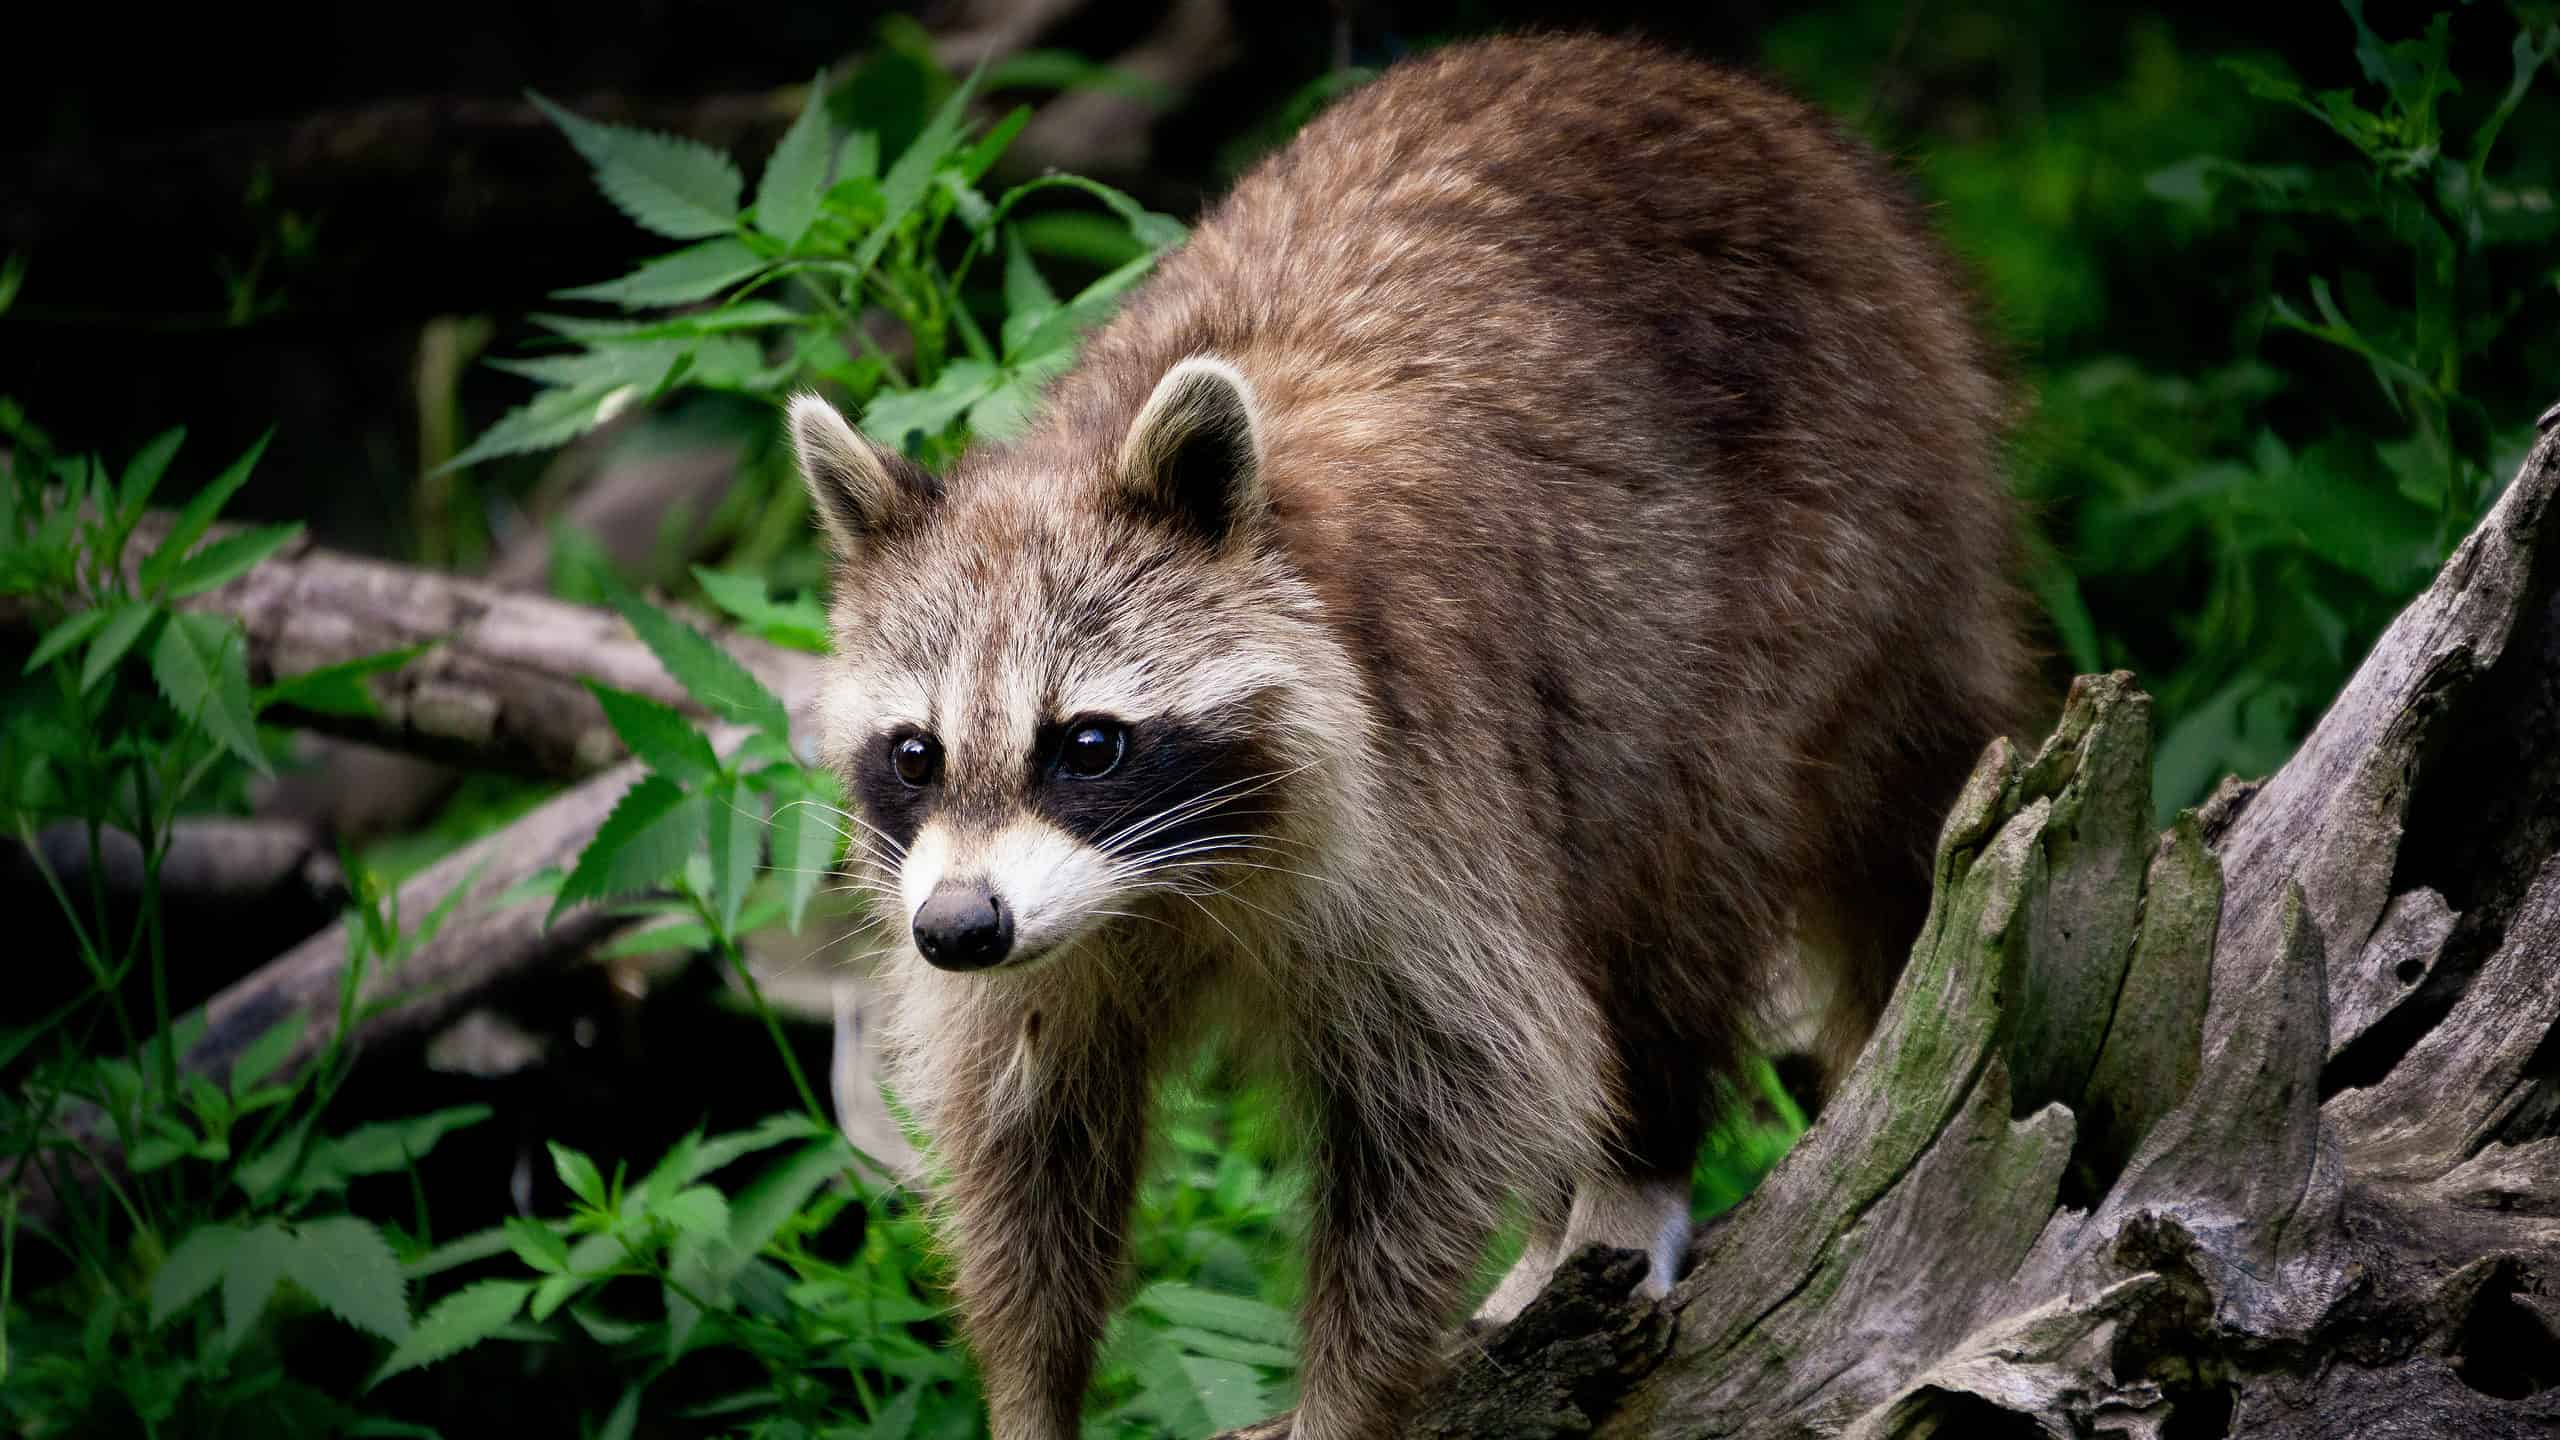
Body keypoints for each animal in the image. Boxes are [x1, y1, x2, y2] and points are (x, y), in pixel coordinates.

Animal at [790, 32, 2031, 1440]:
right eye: (915, 754)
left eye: (1087, 743)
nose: (955, 932)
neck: (1156, 891)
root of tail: (1691, 78)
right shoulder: (1018, 922)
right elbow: (1025, 1136)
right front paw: (1030, 1395)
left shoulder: (1423, 794)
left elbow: (1464, 1092)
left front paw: (1344, 1397)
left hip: (1835, 525)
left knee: (1683, 869)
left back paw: (1632, 1171)